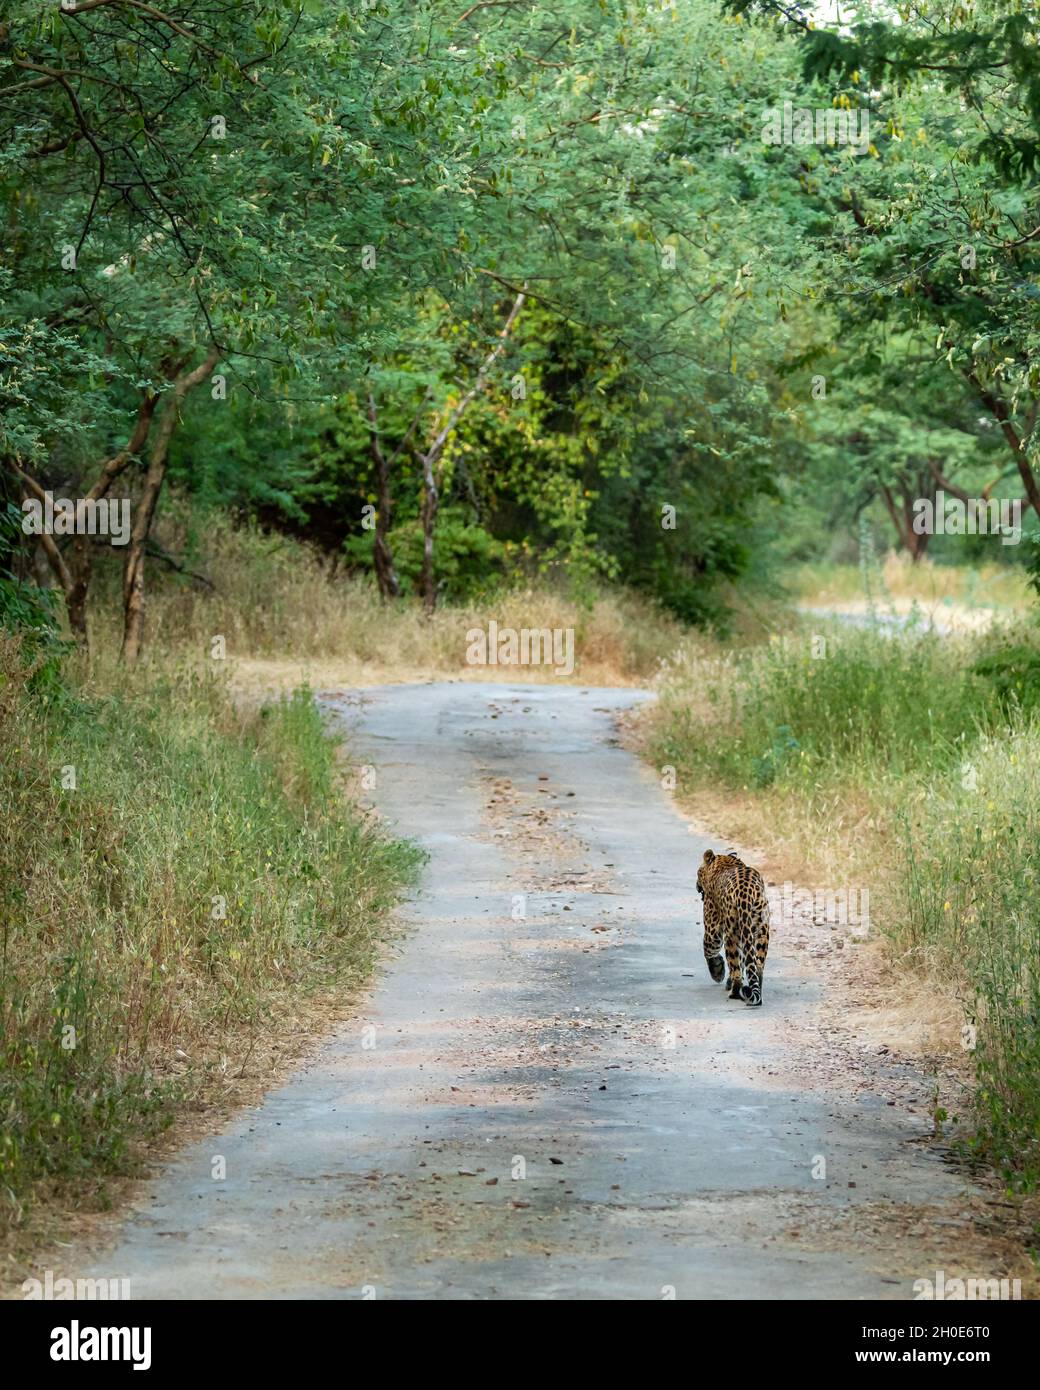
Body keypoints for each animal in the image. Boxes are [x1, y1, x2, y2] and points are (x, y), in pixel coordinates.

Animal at [695, 848, 770, 1007]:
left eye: (698, 871)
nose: (697, 884)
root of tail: (745, 893)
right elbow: (745, 961)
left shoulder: (712, 930)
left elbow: (708, 951)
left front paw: (717, 971)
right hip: (762, 931)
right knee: (757, 966)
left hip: (731, 934)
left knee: (735, 966)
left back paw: (735, 992)